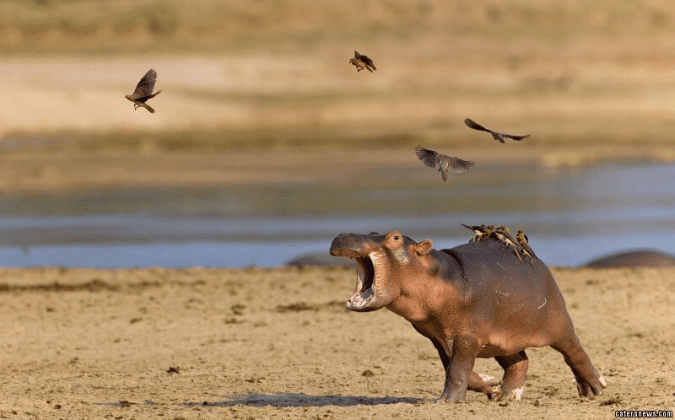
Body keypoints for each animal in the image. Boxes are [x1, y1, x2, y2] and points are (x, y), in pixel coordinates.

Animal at [329, 230, 606, 403]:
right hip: (502, 339)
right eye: (372, 230)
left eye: (395, 237)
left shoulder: (467, 335)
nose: (345, 235)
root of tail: (539, 262)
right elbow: (453, 367)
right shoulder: (438, 336)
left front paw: (446, 402)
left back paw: (594, 389)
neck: (434, 273)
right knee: (519, 362)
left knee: (575, 352)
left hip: (559, 324)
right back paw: (506, 397)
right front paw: (490, 384)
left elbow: (457, 368)